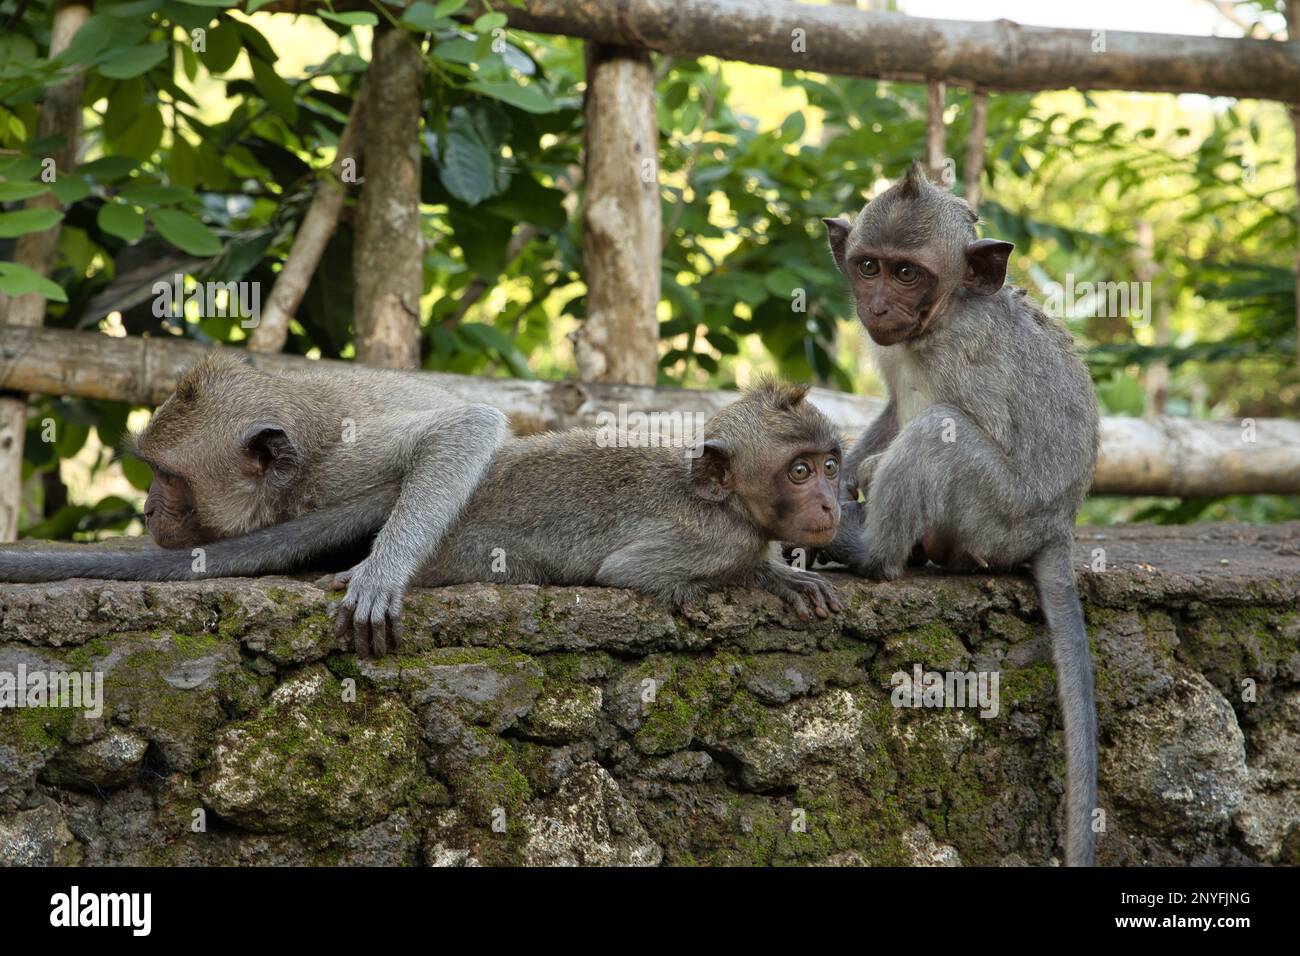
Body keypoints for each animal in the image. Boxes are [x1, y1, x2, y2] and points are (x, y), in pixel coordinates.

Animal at [0, 352, 508, 658]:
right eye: (153, 472)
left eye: (168, 477)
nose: (147, 510)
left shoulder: (341, 467)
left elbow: (468, 424)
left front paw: (381, 574)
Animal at [818, 162, 1100, 866]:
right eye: (869, 266)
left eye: (908, 273)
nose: (877, 306)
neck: (939, 319)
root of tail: (1058, 528)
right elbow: (892, 411)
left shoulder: (963, 352)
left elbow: (948, 425)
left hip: (998, 518)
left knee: (938, 435)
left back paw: (872, 553)